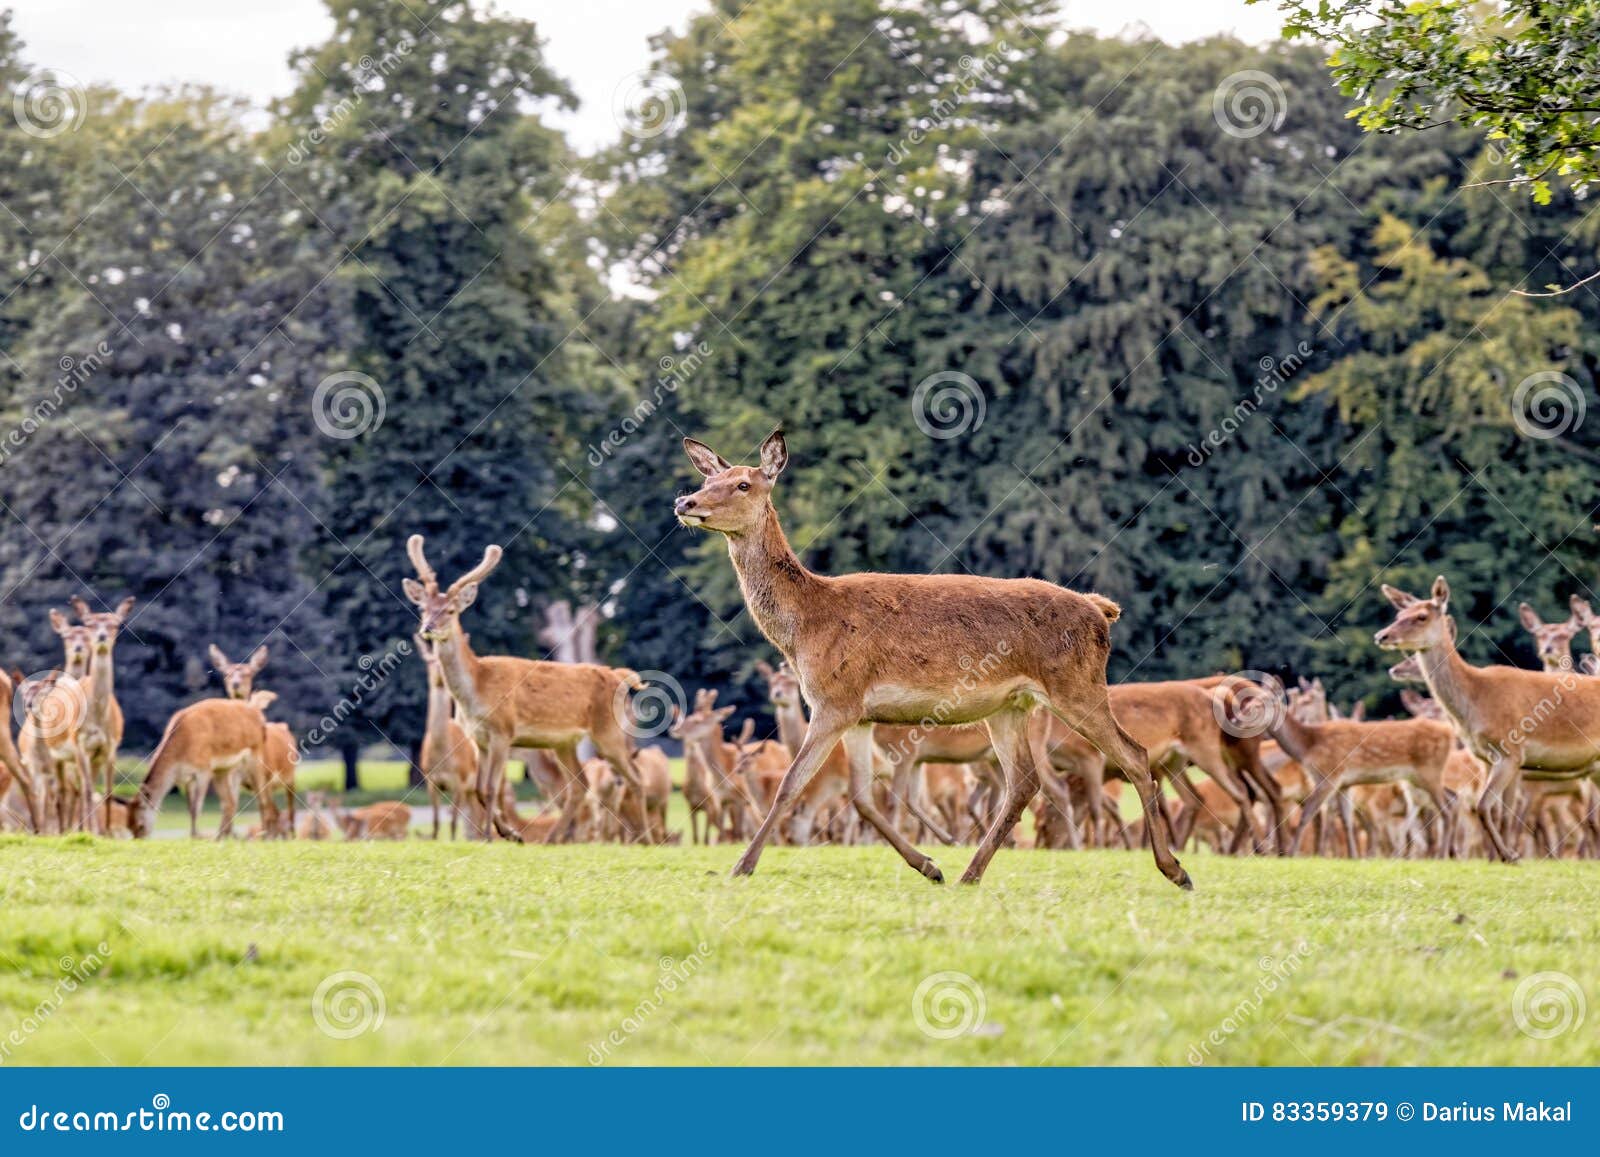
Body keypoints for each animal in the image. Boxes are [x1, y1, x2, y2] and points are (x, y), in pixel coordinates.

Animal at [129, 698, 270, 839]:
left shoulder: (204, 770)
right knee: (230, 802)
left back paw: (264, 835)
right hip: (223, 769)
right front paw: (194, 836)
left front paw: (195, 836)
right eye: (129, 824)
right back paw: (221, 837)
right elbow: (190, 808)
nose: (138, 838)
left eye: (140, 825)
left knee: (261, 797)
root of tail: (259, 714)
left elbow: (197, 807)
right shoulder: (187, 779)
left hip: (256, 755)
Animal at [404, 534, 644, 844]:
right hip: (564, 743)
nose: (428, 628)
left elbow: (490, 789)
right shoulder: (479, 739)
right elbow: (479, 789)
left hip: (608, 732)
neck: (477, 690)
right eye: (423, 608)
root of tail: (620, 677)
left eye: (451, 610)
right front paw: (510, 834)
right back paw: (552, 839)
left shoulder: (503, 732)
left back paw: (646, 837)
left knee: (635, 777)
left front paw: (490, 836)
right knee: (579, 785)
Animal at [675, 430, 1189, 889]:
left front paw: (741, 867)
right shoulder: (858, 714)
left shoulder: (834, 699)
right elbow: (862, 798)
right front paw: (929, 865)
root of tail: (1101, 612)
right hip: (1011, 707)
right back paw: (968, 873)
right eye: (709, 478)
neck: (804, 627)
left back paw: (1175, 870)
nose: (686, 503)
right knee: (1025, 783)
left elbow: (789, 785)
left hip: (1077, 686)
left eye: (744, 483)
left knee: (1134, 756)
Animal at [1375, 576, 1600, 862]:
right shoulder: (1487, 758)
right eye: (1398, 614)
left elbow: (1487, 807)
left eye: (1421, 616)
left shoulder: (1511, 751)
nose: (1381, 636)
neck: (1476, 703)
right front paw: (1504, 855)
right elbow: (1495, 811)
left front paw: (1509, 855)